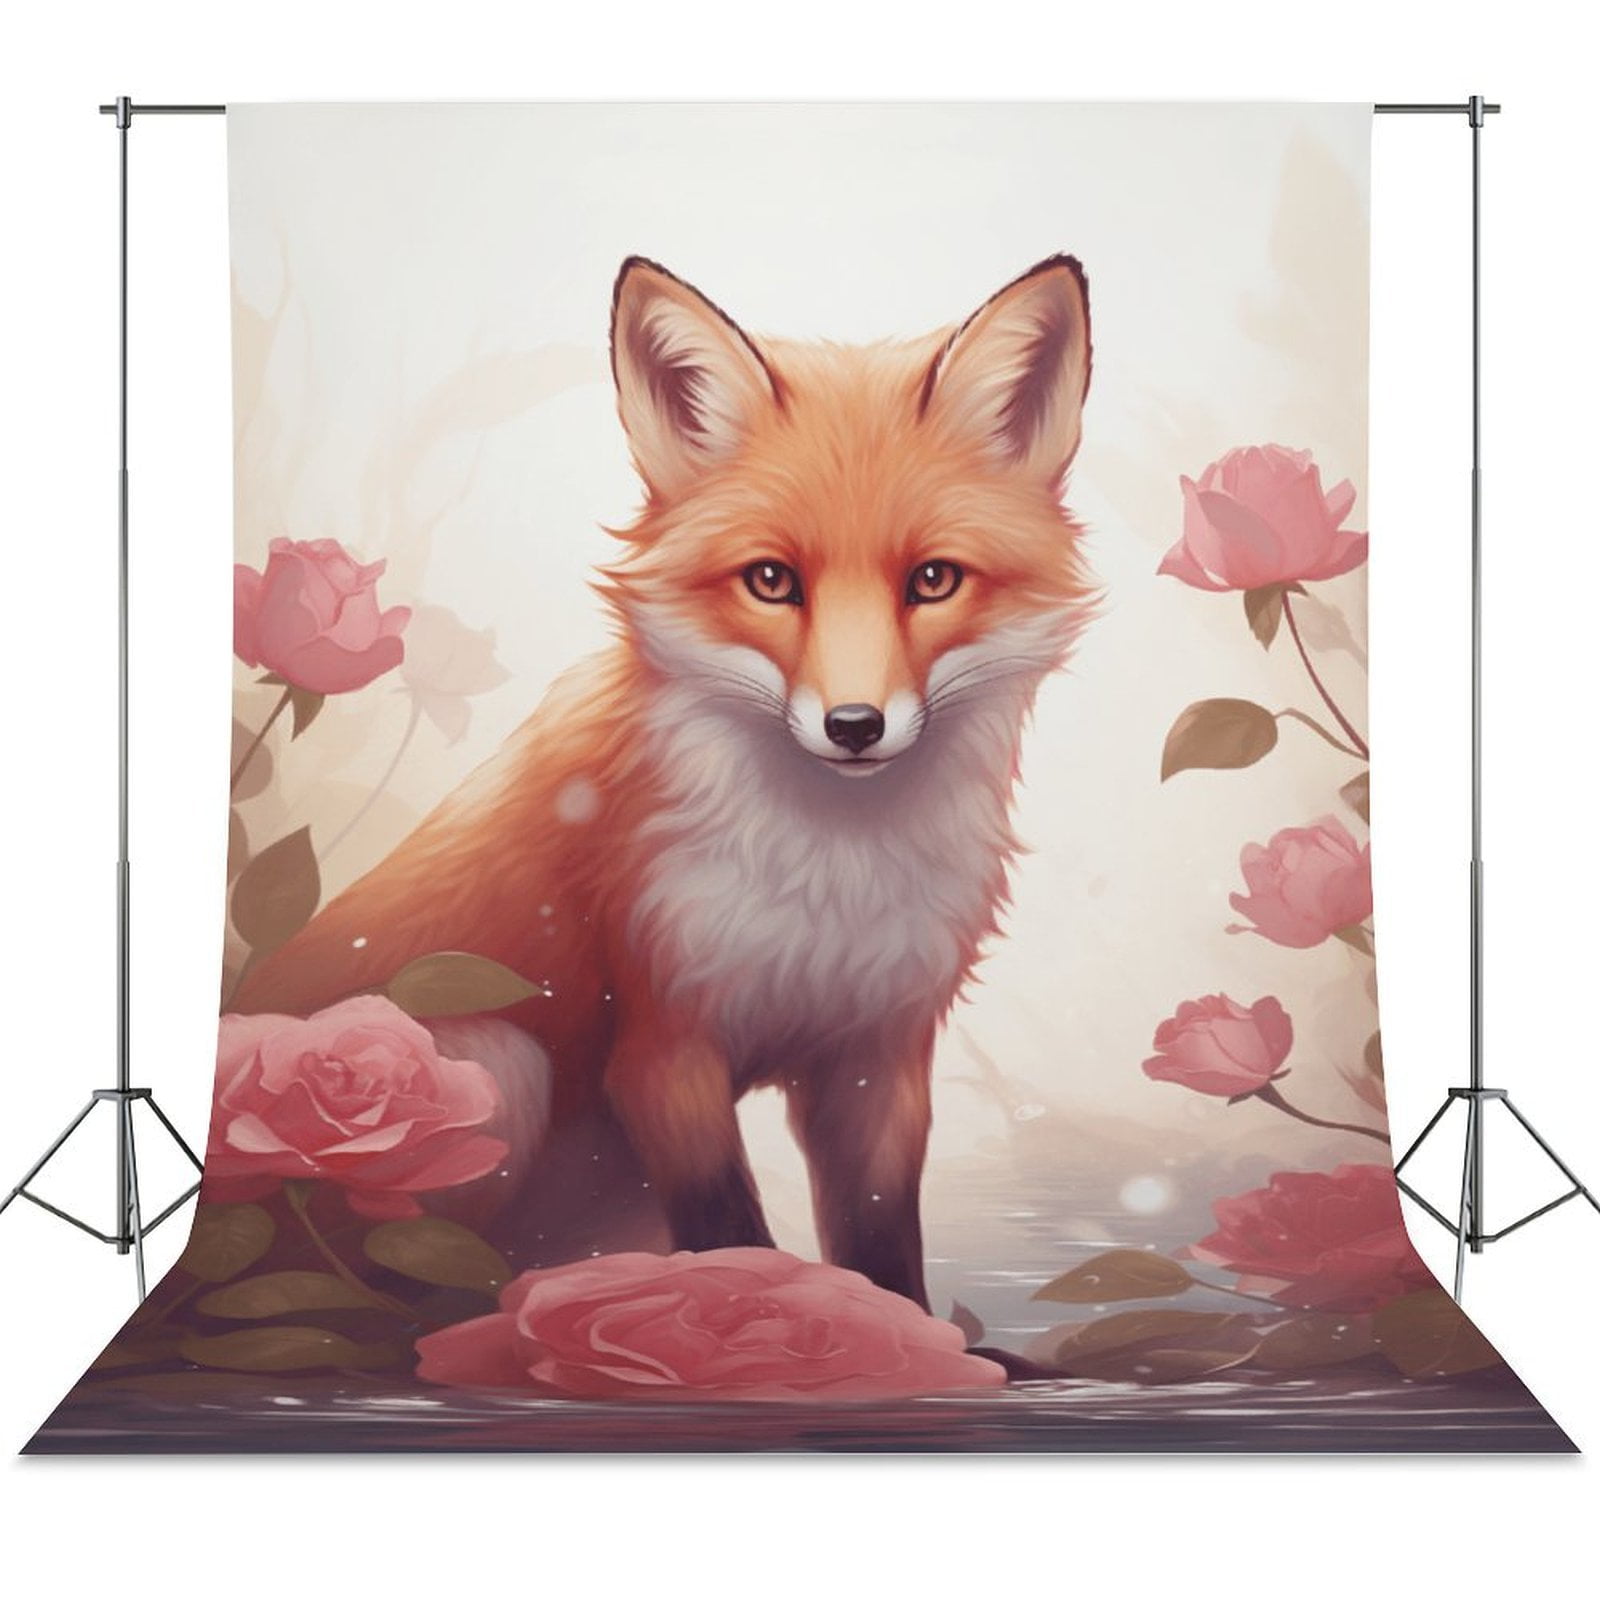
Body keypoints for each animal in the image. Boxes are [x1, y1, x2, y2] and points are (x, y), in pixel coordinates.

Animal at [233, 253, 1095, 1309]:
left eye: (933, 580)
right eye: (771, 581)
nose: (854, 726)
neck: (829, 877)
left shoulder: (878, 1050)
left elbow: (882, 1239)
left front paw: (913, 1334)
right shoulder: (662, 1038)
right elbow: (731, 1228)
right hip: (497, 1066)